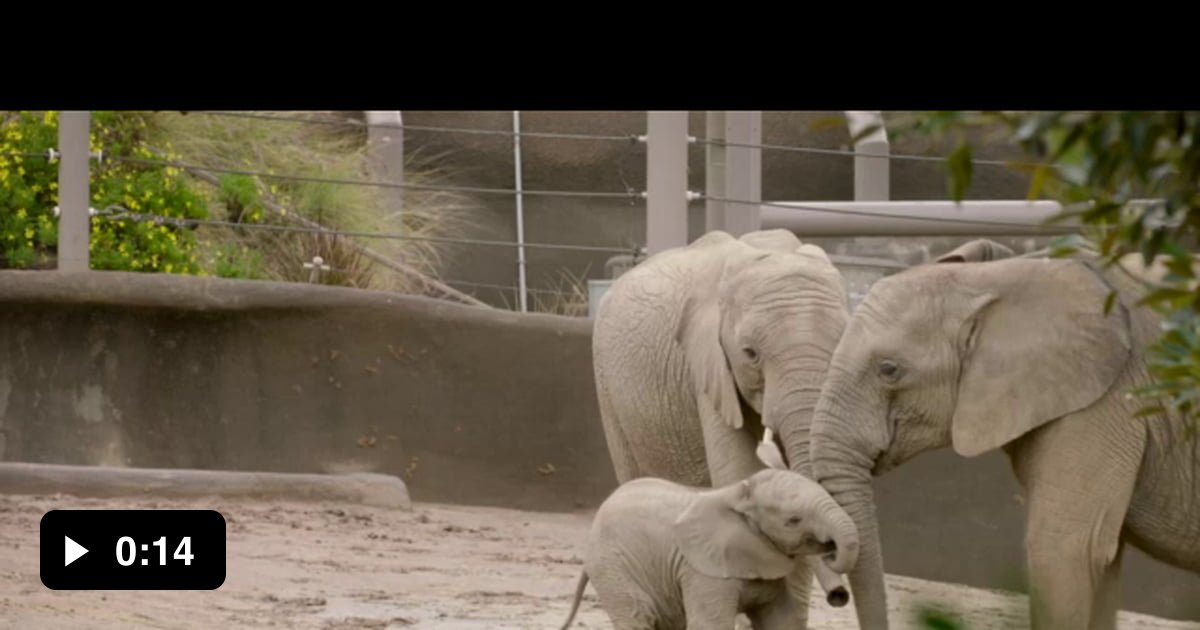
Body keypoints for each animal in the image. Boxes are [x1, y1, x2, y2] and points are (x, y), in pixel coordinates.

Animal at [558, 465, 858, 630]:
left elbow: (781, 621)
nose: (839, 595)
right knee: (638, 615)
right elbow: (711, 624)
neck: (738, 492)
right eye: (793, 521)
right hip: (612, 565)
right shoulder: (702, 569)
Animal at [591, 229, 852, 625]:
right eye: (750, 354)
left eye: (840, 346)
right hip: (608, 387)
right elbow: (739, 469)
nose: (839, 596)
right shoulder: (708, 364)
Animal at [807, 250, 1200, 630]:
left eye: (889, 370)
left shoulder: (1107, 400)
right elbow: (1103, 559)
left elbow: (1064, 550)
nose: (837, 595)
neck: (997, 277)